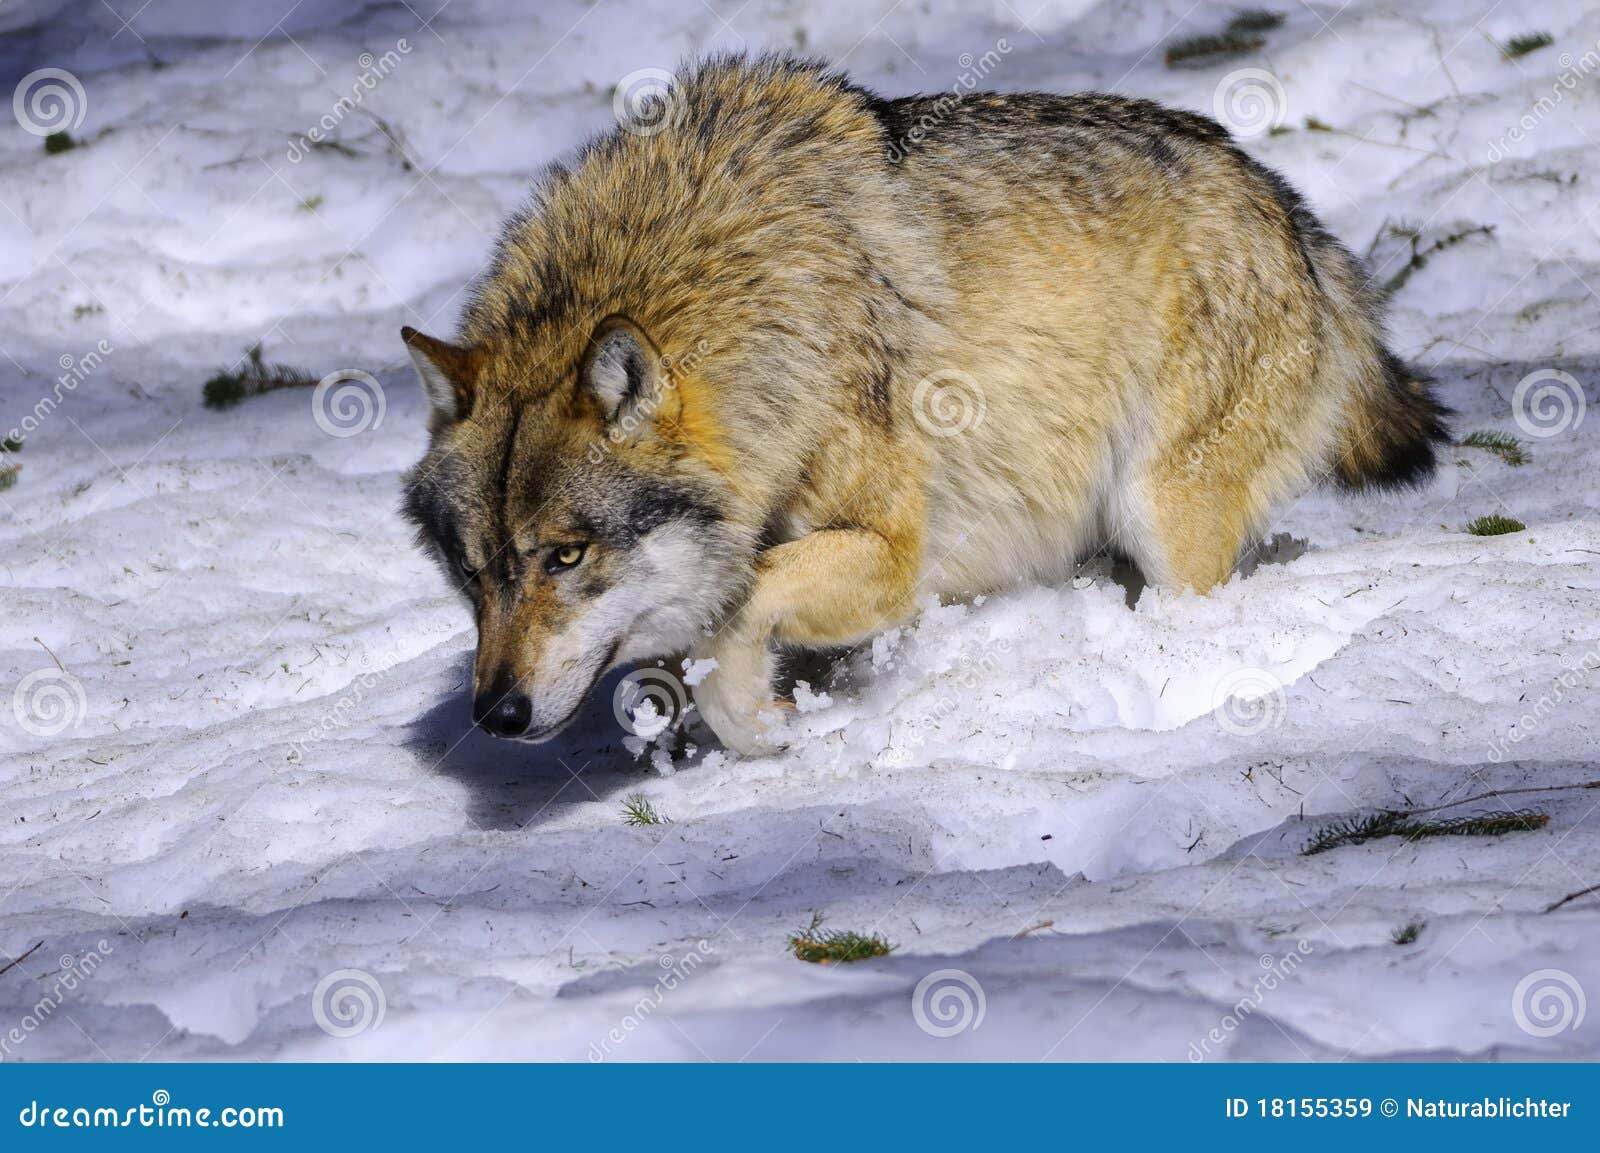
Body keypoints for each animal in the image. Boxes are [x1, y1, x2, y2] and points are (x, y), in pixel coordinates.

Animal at [400, 55, 1448, 755]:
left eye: (565, 556)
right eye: (472, 571)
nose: (494, 716)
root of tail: (1293, 215)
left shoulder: (894, 555)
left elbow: (741, 606)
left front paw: (765, 726)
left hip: (1161, 510)